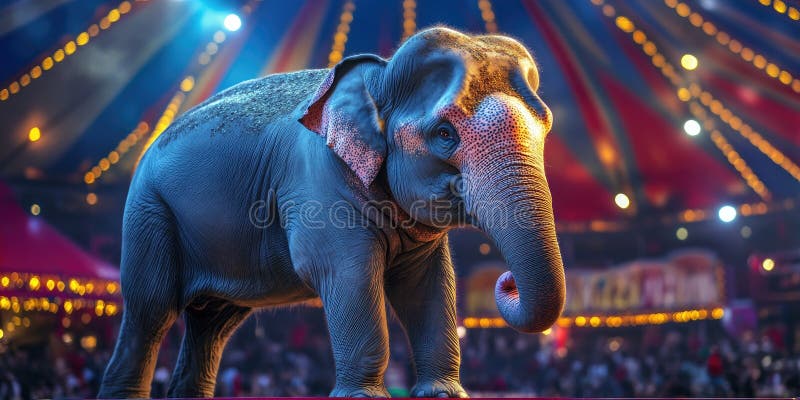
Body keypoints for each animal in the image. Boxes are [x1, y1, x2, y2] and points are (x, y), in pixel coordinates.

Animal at [98, 27, 565, 398]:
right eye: (445, 134)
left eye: (545, 127)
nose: (505, 281)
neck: (379, 75)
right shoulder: (315, 183)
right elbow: (347, 272)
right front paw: (365, 397)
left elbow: (428, 282)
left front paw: (442, 394)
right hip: (149, 213)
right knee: (150, 313)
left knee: (211, 325)